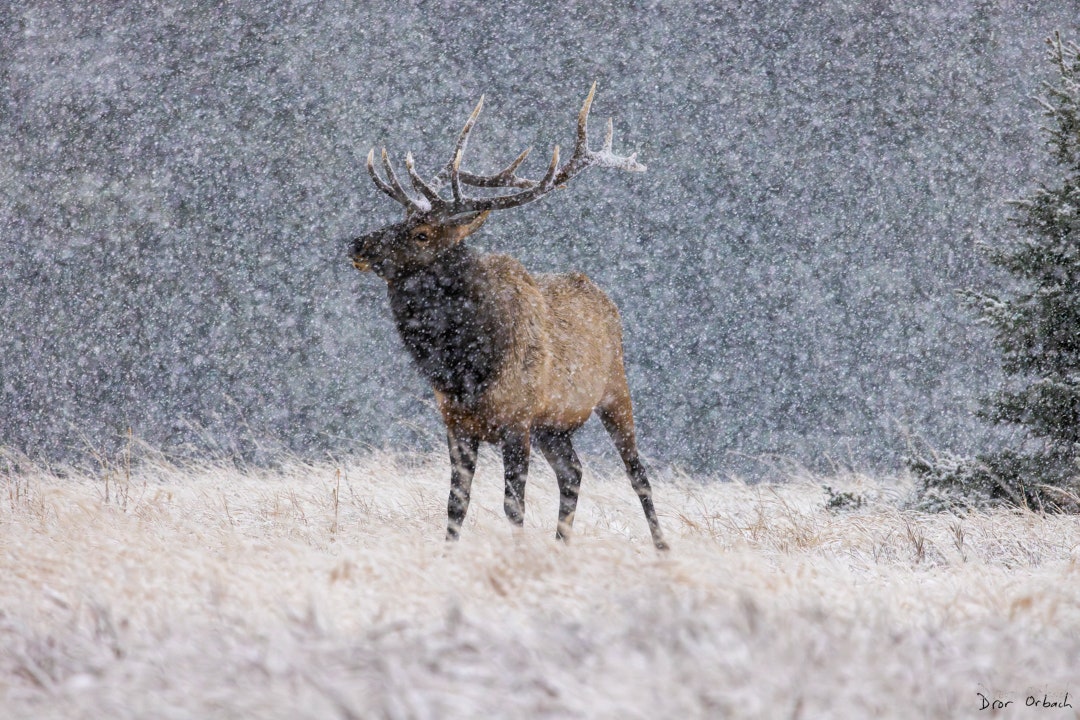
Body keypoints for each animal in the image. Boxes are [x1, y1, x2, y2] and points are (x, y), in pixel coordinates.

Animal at [349, 84, 667, 550]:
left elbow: (513, 506)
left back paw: (663, 548)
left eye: (422, 234)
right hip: (555, 426)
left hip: (615, 392)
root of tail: (605, 297)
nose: (357, 243)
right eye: (399, 219)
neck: (464, 365)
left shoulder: (517, 419)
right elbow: (455, 505)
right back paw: (561, 545)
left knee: (638, 474)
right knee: (573, 471)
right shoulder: (457, 422)